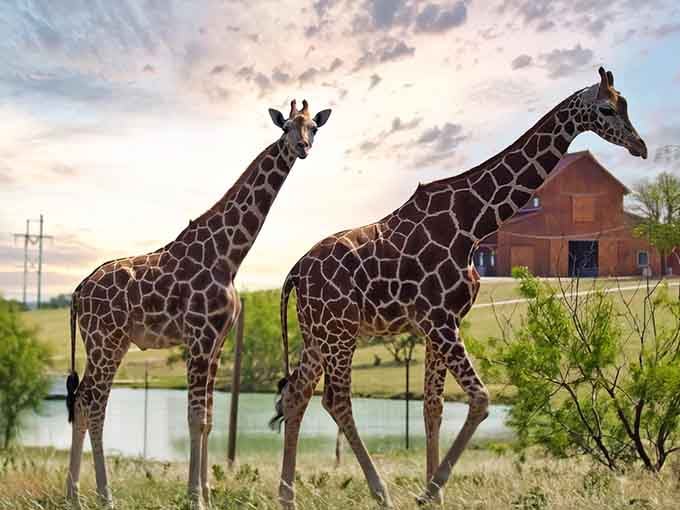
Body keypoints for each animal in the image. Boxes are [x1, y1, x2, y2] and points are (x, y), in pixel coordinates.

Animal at [64, 99, 331, 510]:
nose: (302, 147)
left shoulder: (217, 342)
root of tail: (78, 292)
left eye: (312, 128)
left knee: (81, 401)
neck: (229, 255)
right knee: (93, 404)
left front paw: (206, 492)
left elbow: (208, 418)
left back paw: (75, 495)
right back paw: (104, 495)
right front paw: (195, 497)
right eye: (286, 126)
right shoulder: (200, 337)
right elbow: (195, 419)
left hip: (110, 343)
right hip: (104, 342)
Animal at [270, 67, 647, 509]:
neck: (473, 222)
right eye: (606, 108)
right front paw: (431, 489)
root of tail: (296, 270)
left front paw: (433, 491)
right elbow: (480, 399)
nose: (639, 146)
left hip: (318, 333)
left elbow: (432, 406)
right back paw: (379, 490)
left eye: (626, 103)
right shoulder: (441, 319)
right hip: (339, 332)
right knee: (335, 399)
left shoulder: (438, 324)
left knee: (297, 393)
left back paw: (288, 495)